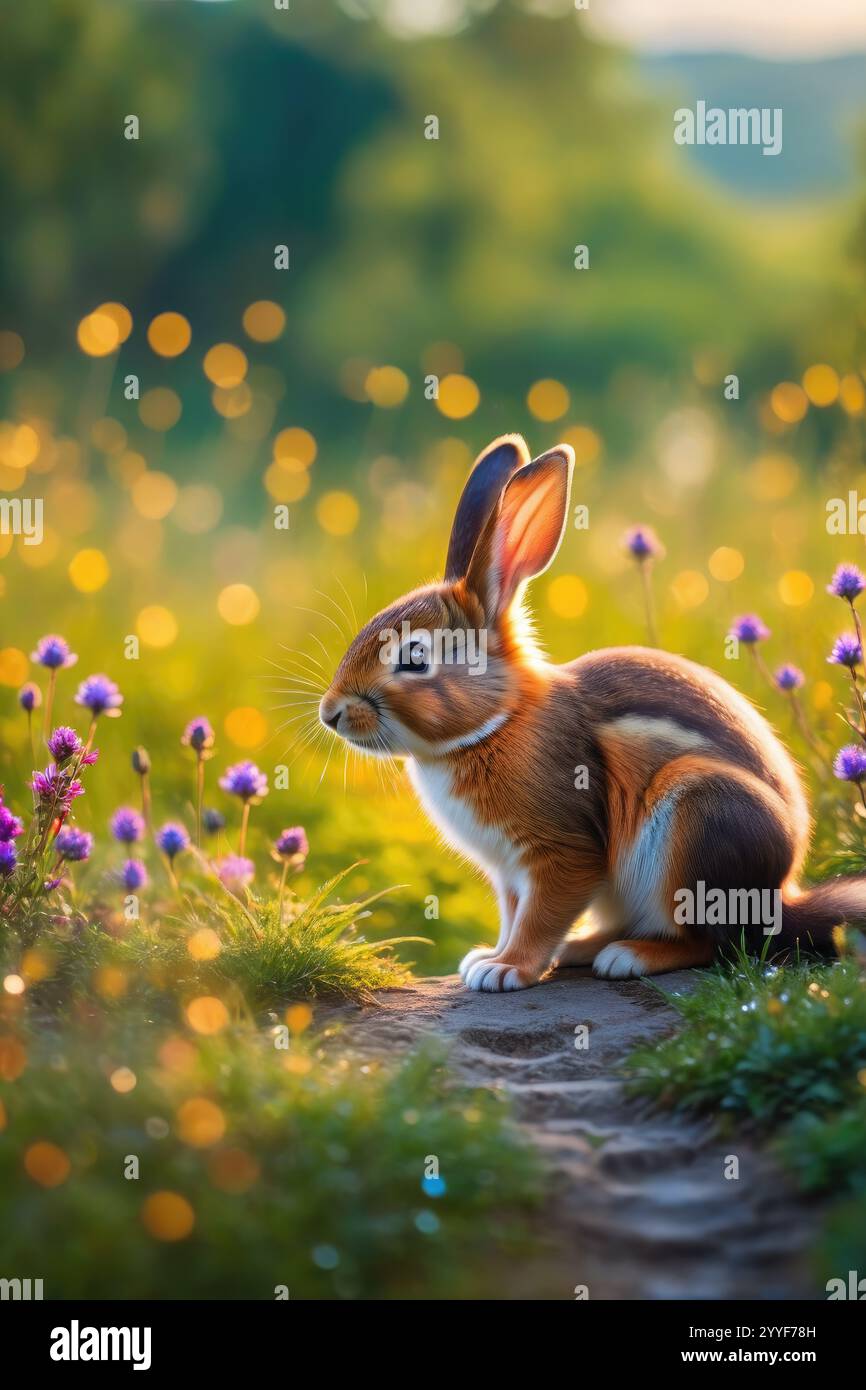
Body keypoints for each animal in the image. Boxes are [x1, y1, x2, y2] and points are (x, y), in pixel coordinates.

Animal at [319, 433, 865, 990]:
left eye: (414, 658)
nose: (330, 714)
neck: (498, 721)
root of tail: (779, 898)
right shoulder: (509, 872)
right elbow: (513, 913)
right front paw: (487, 958)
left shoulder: (563, 854)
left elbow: (540, 917)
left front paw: (506, 970)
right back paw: (583, 948)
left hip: (697, 823)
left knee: (710, 943)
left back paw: (627, 958)